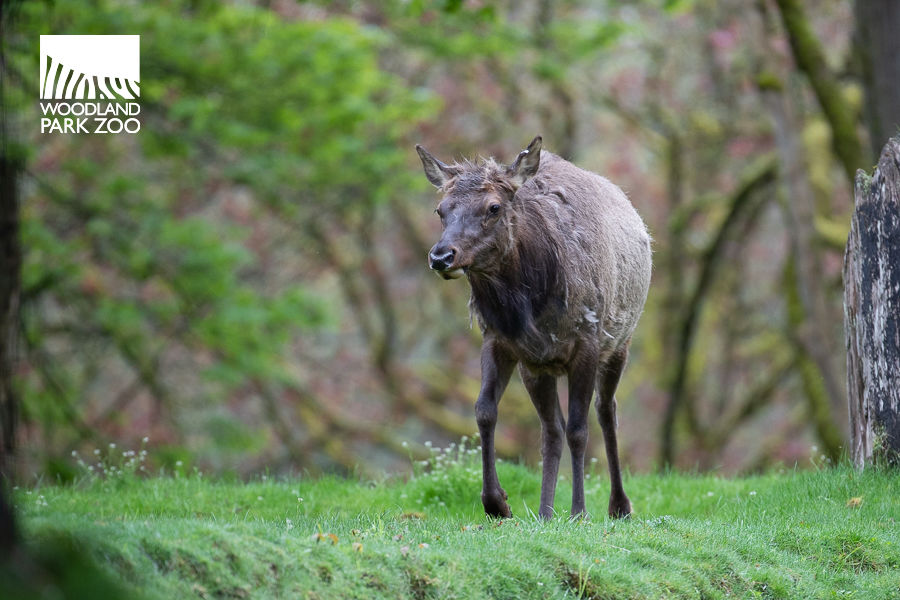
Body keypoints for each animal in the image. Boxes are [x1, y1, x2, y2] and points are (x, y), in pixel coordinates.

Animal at [416, 137, 651, 519]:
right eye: (440, 210)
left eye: (494, 207)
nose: (441, 256)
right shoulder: (502, 341)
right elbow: (484, 410)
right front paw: (497, 503)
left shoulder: (586, 340)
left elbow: (579, 428)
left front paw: (580, 512)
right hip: (540, 368)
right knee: (551, 428)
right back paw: (544, 511)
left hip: (620, 342)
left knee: (606, 411)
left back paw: (618, 505)